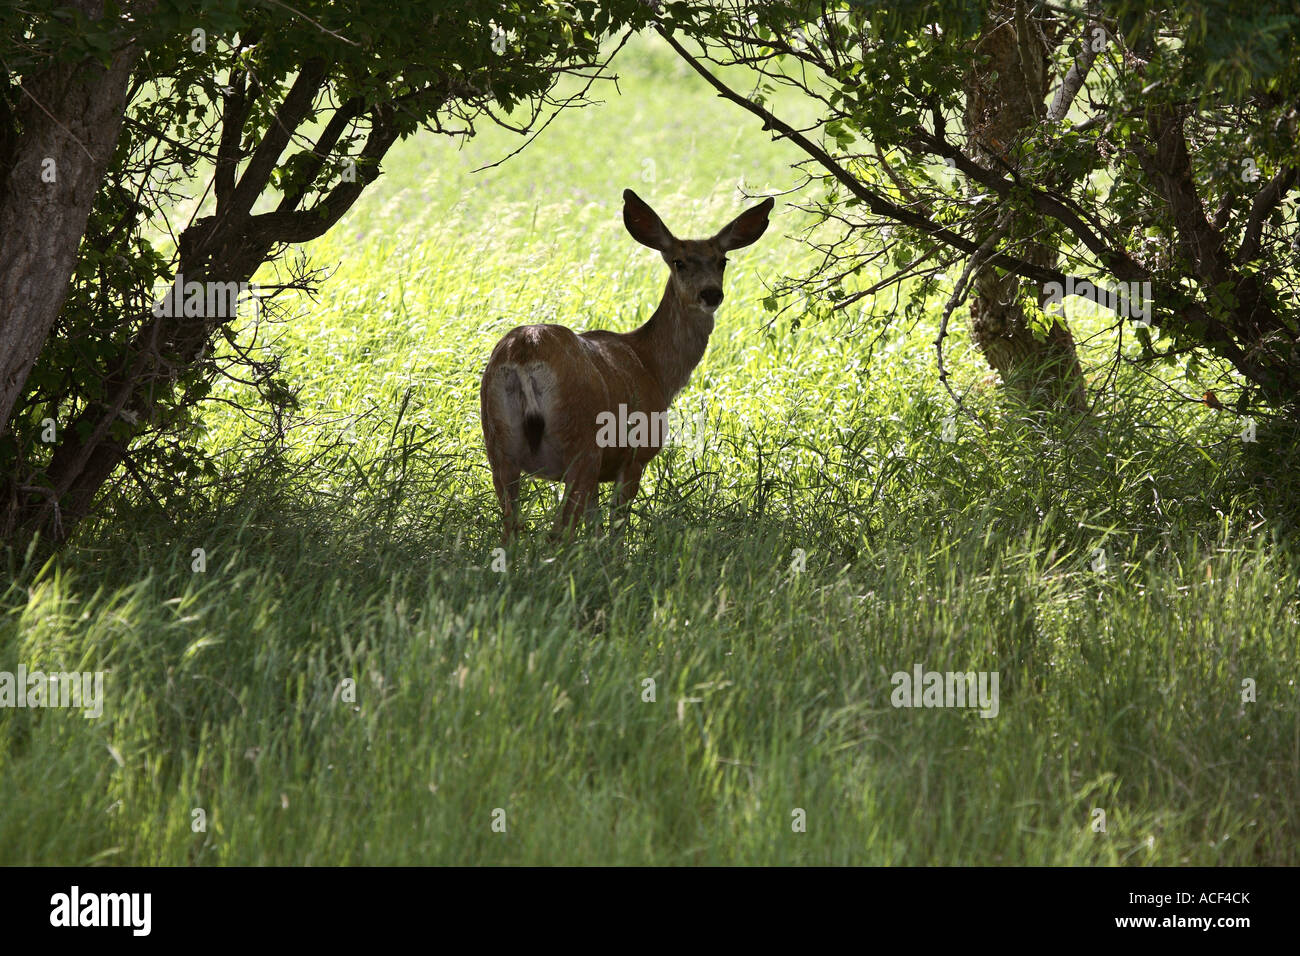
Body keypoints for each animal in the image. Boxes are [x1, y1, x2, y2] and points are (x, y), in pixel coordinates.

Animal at [479, 189, 774, 542]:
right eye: (679, 261)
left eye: (722, 260)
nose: (711, 294)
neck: (653, 367)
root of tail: (525, 350)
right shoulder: (635, 455)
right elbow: (614, 533)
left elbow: (594, 532)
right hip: (582, 442)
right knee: (558, 533)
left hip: (497, 443)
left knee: (511, 528)